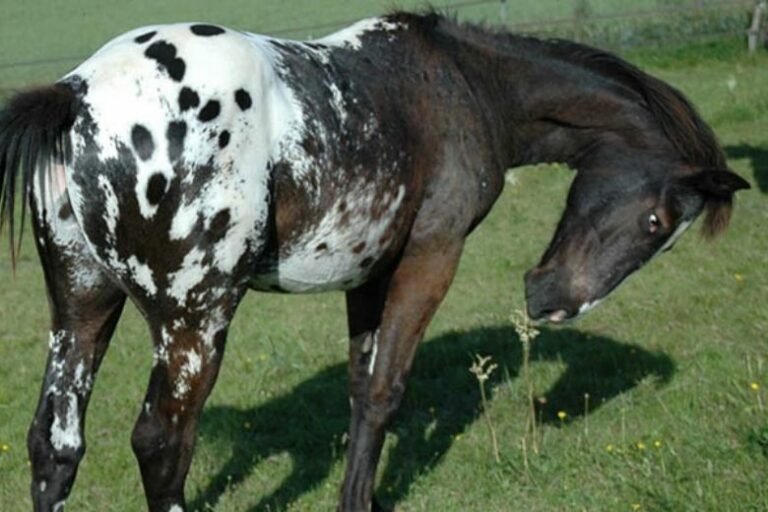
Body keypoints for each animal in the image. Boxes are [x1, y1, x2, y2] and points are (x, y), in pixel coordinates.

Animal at [0, 11, 750, 512]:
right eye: (656, 224)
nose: (552, 301)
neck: (465, 81)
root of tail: (78, 95)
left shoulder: (366, 273)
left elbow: (361, 393)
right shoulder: (430, 258)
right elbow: (388, 391)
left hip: (82, 307)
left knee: (56, 443)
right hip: (195, 321)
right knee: (161, 442)